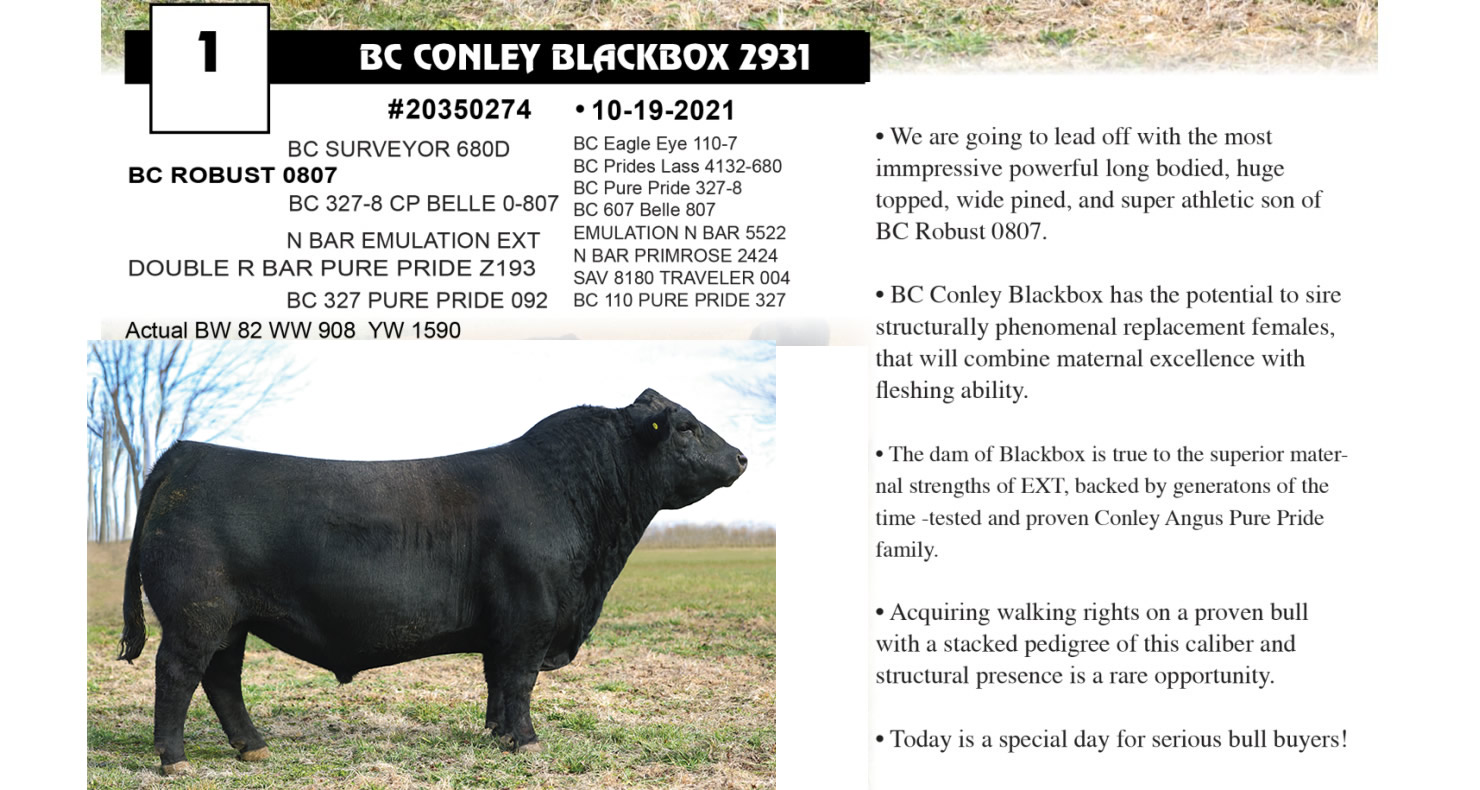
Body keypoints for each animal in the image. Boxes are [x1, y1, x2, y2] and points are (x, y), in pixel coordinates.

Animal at [117, 389, 747, 775]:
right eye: (686, 426)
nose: (741, 456)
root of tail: (186, 453)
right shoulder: (531, 619)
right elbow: (519, 682)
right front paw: (527, 742)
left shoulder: (505, 629)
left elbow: (496, 682)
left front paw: (497, 735)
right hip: (197, 615)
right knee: (179, 675)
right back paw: (174, 759)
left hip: (231, 621)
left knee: (222, 678)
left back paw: (254, 748)